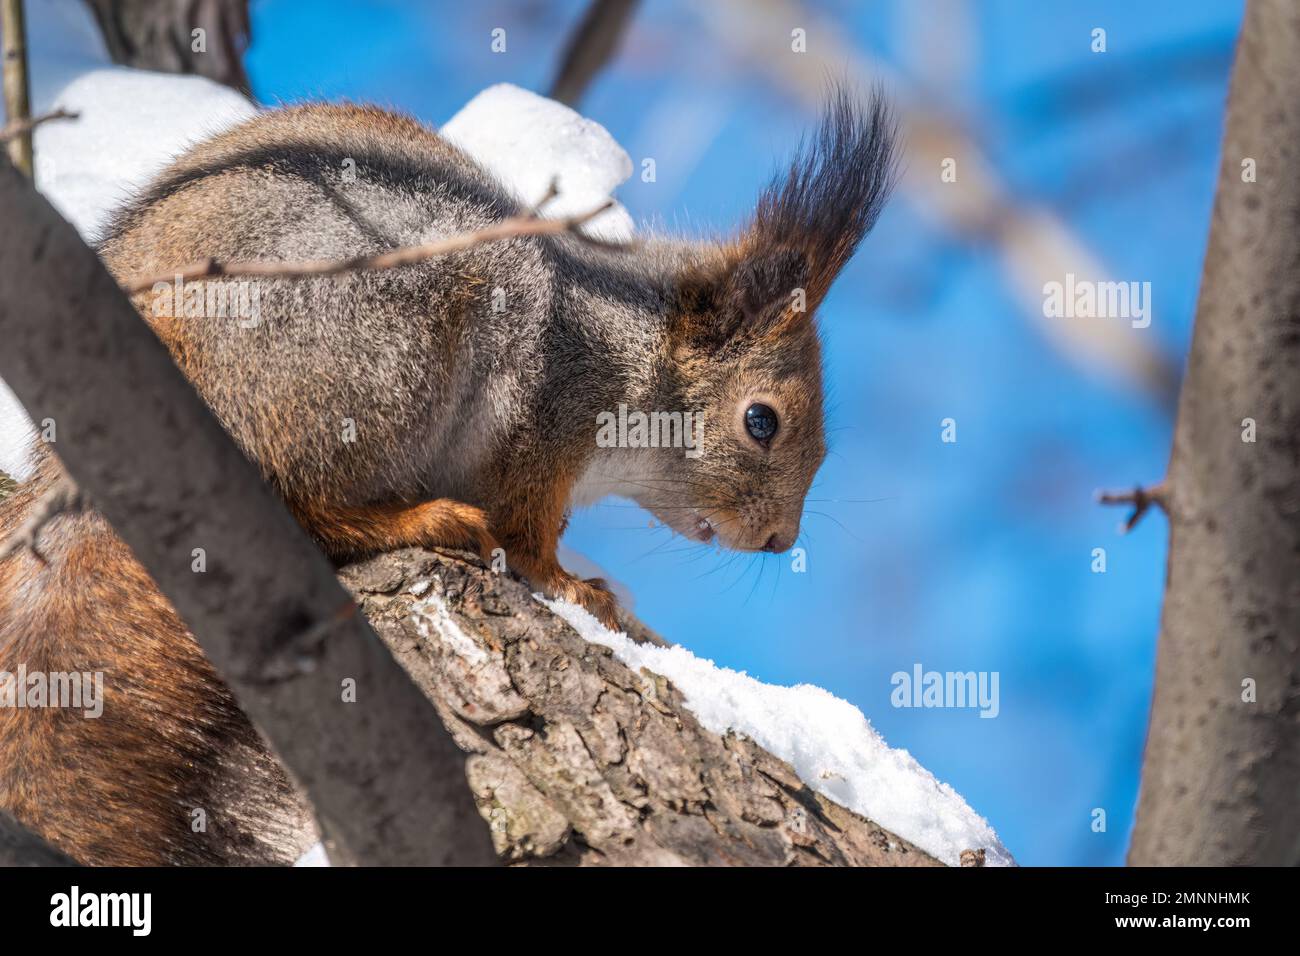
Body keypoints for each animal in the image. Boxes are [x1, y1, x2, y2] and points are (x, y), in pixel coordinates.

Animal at [0, 88, 896, 865]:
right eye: (761, 421)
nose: (779, 540)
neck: (625, 343)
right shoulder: (543, 416)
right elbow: (531, 530)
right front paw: (572, 586)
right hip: (385, 342)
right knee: (305, 501)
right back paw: (417, 520)